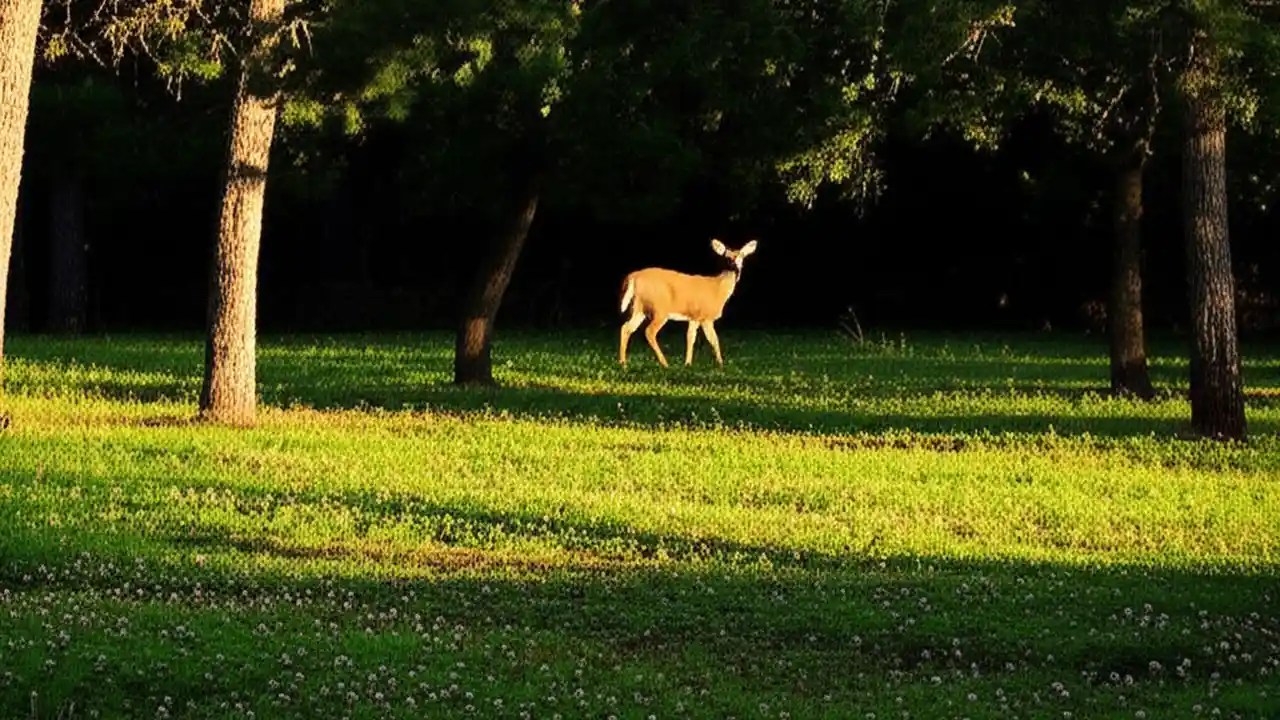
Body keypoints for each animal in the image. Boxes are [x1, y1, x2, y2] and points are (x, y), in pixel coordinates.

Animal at [618, 238, 758, 368]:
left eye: (741, 255)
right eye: (726, 256)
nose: (734, 265)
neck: (718, 289)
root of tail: (634, 276)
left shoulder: (694, 317)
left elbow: (692, 338)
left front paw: (689, 363)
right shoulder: (705, 317)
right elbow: (713, 339)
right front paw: (720, 364)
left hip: (639, 307)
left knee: (626, 328)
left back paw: (623, 363)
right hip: (660, 309)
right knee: (649, 331)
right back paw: (664, 363)